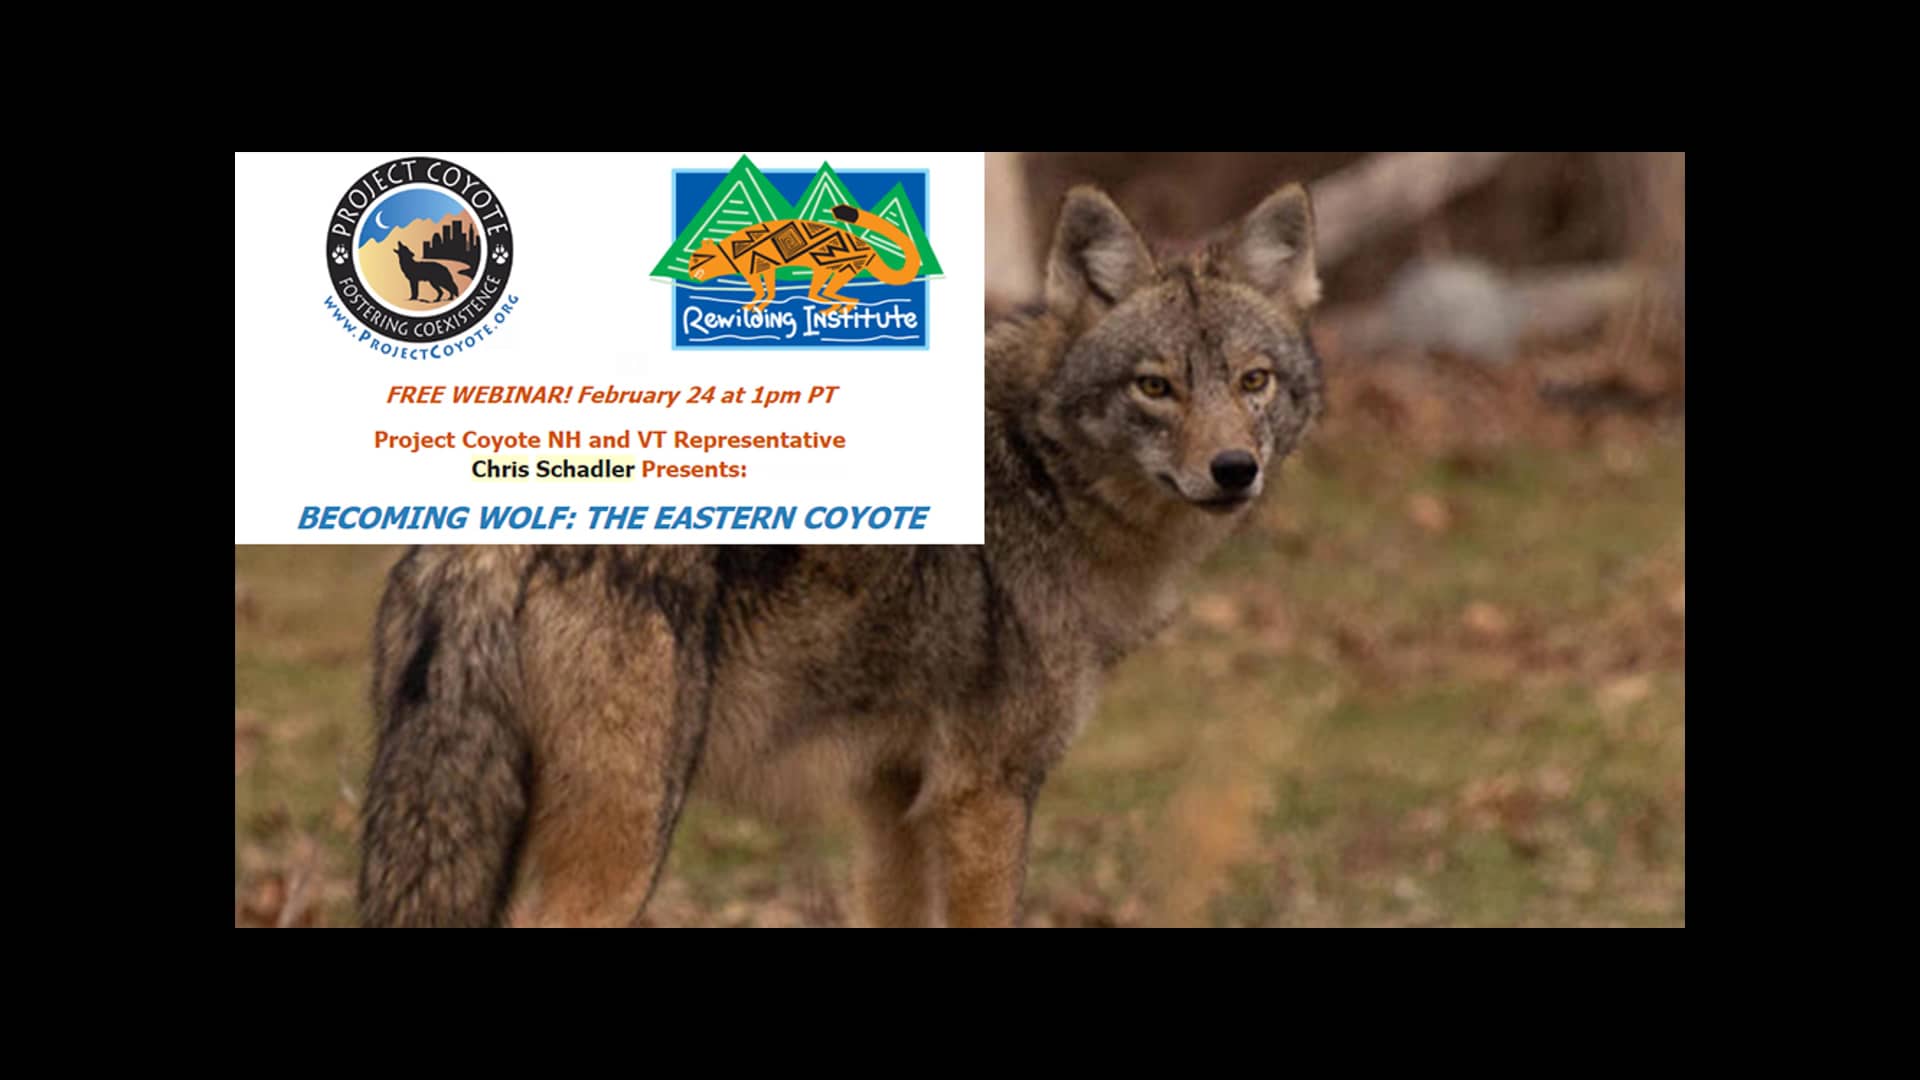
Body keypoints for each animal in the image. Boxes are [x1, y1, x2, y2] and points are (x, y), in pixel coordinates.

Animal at [359, 182, 1326, 927]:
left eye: (1254, 382)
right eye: (1155, 387)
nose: (1233, 470)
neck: (1040, 472)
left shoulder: (889, 798)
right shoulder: (986, 796)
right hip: (630, 836)